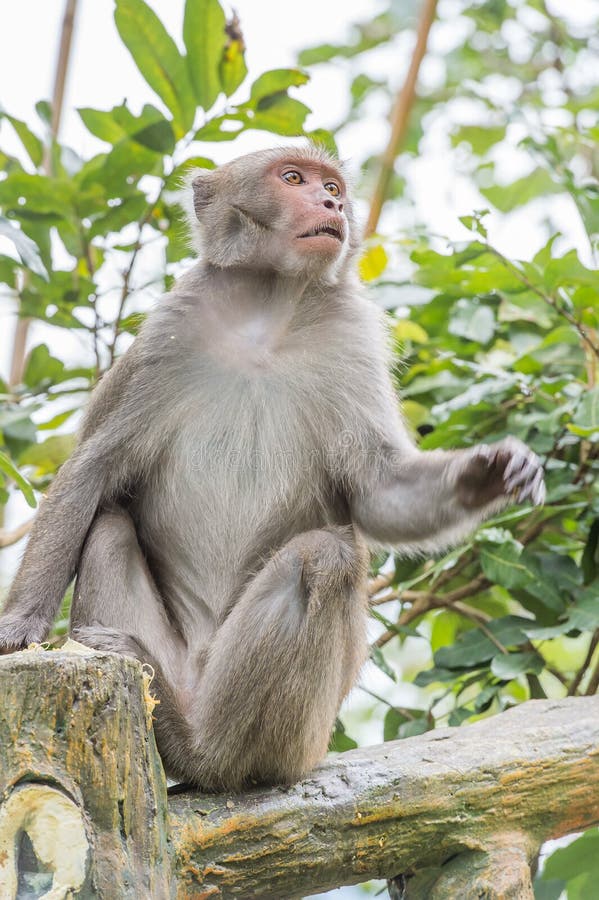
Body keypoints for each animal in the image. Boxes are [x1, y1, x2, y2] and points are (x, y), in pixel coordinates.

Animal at [0, 145, 545, 791]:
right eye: (293, 178)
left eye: (332, 186)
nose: (331, 205)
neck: (266, 309)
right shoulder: (169, 332)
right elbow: (93, 469)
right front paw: (20, 627)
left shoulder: (352, 336)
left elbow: (377, 490)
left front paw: (486, 475)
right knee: (107, 527)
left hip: (300, 736)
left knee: (325, 557)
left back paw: (201, 748)